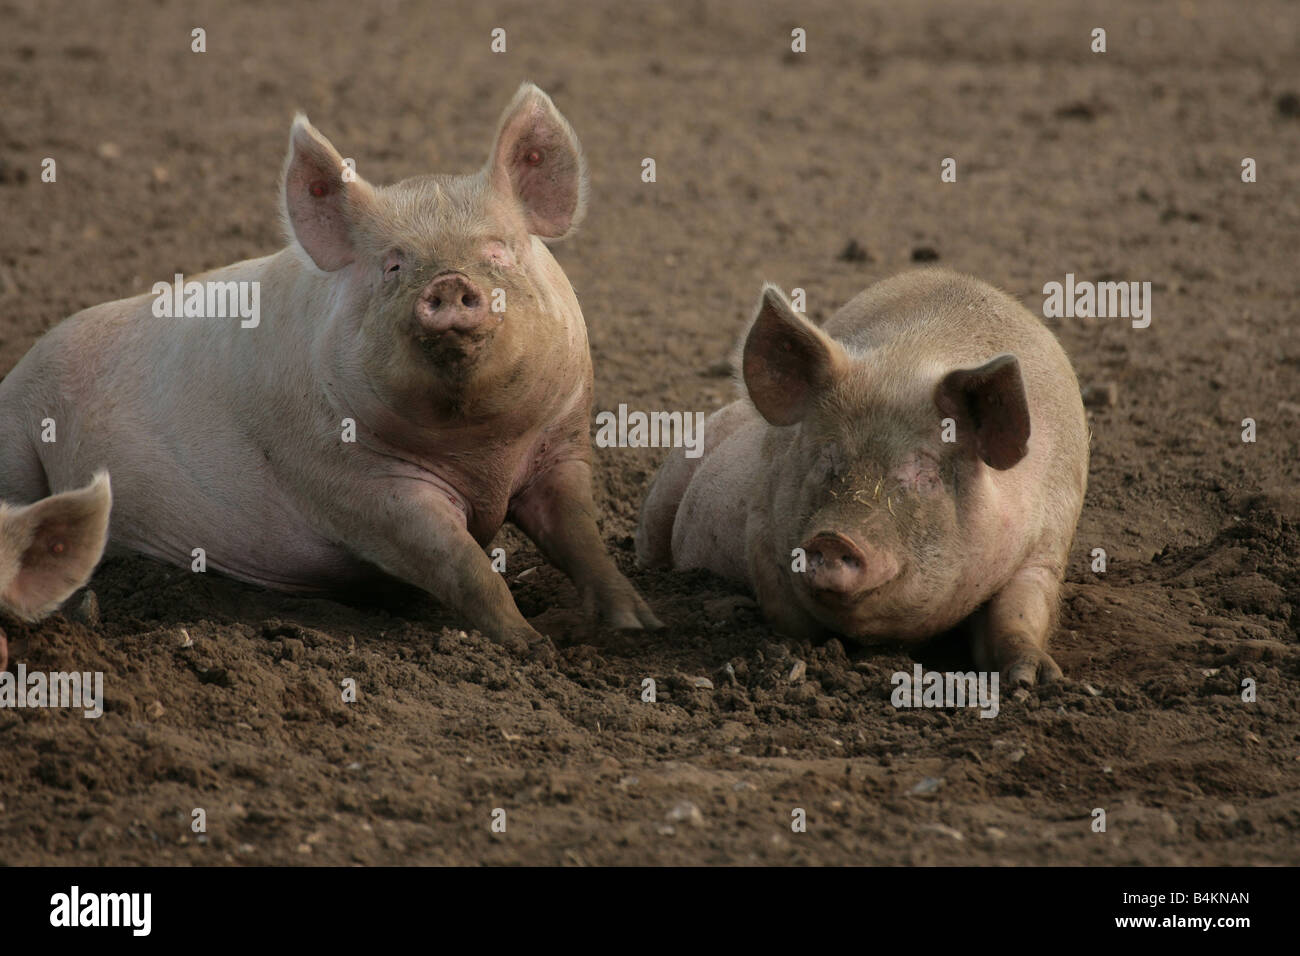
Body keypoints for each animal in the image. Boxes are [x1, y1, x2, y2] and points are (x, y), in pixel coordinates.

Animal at [636, 270, 1089, 685]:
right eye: (825, 455)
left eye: (924, 470)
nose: (834, 538)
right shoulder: (761, 522)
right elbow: (788, 615)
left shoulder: (1049, 541)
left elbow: (1020, 610)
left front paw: (1034, 680)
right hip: (662, 496)